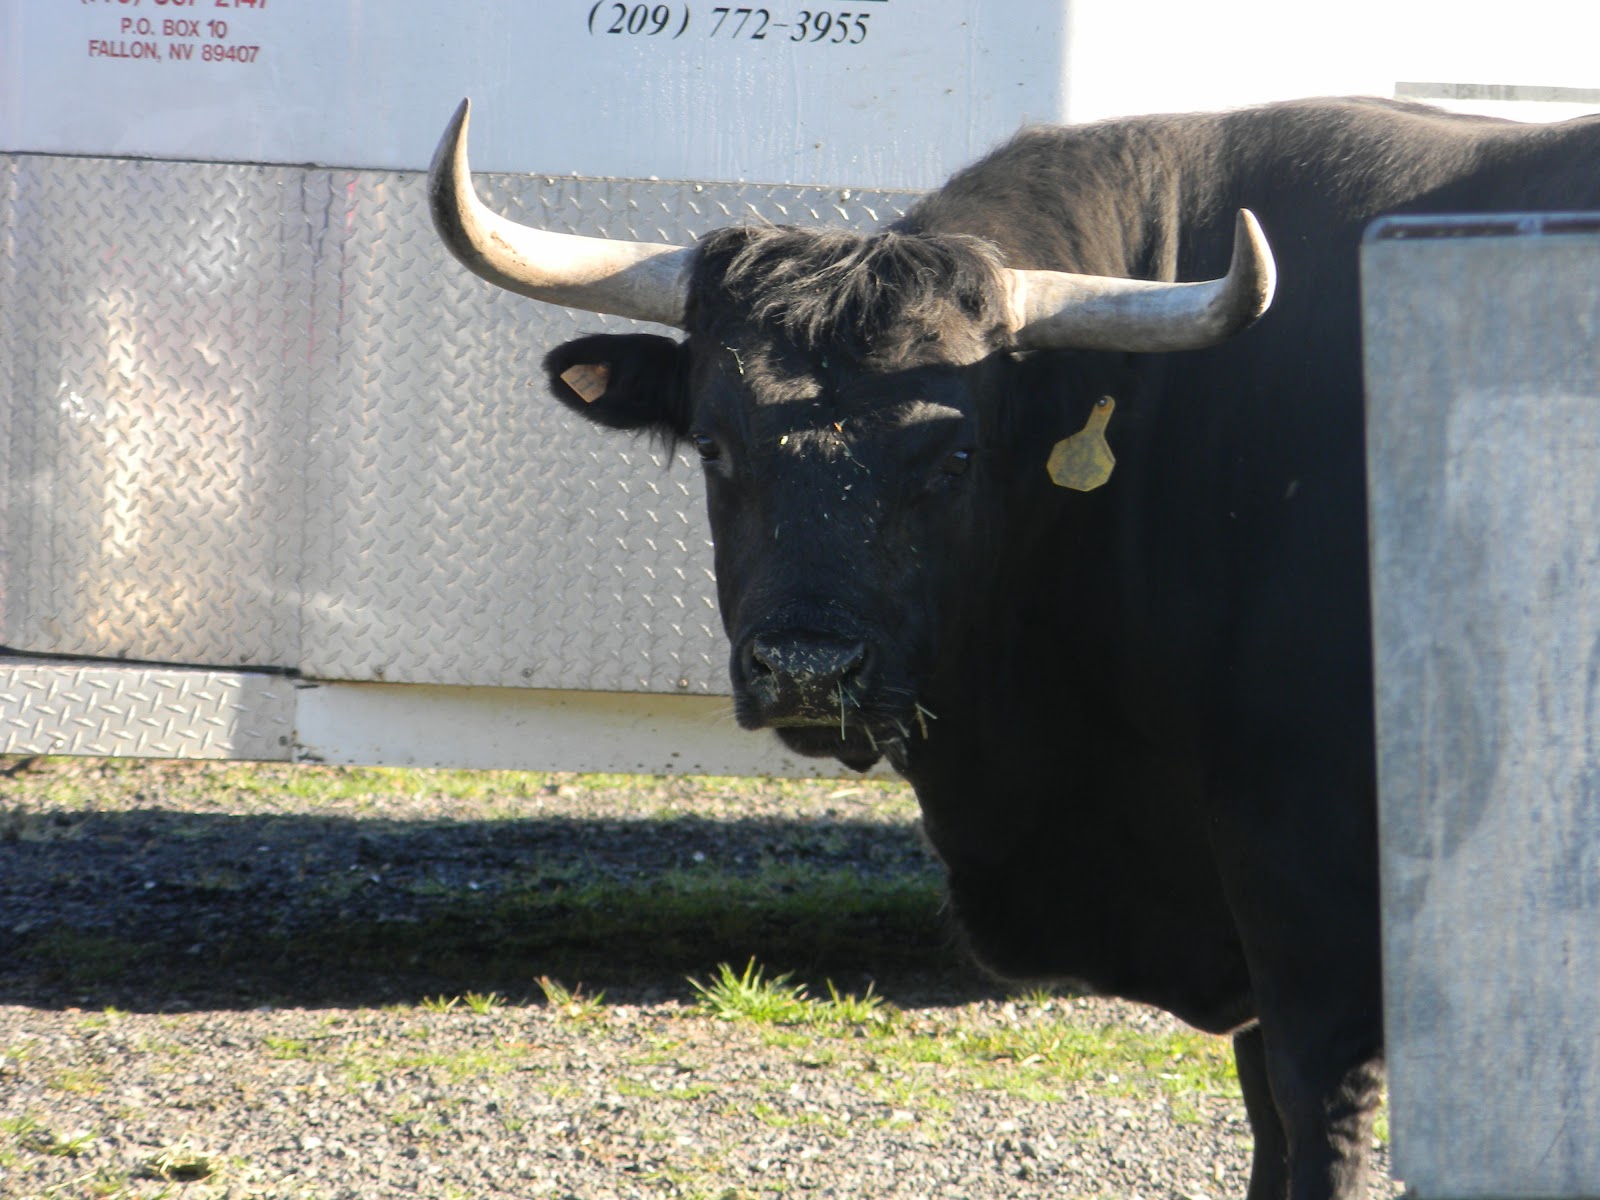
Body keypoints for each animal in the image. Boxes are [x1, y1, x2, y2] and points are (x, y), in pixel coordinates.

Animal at [428, 95, 1600, 1199]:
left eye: (954, 457)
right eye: (714, 445)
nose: (805, 668)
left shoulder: (1318, 893)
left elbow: (1317, 1120)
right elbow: (1266, 1117)